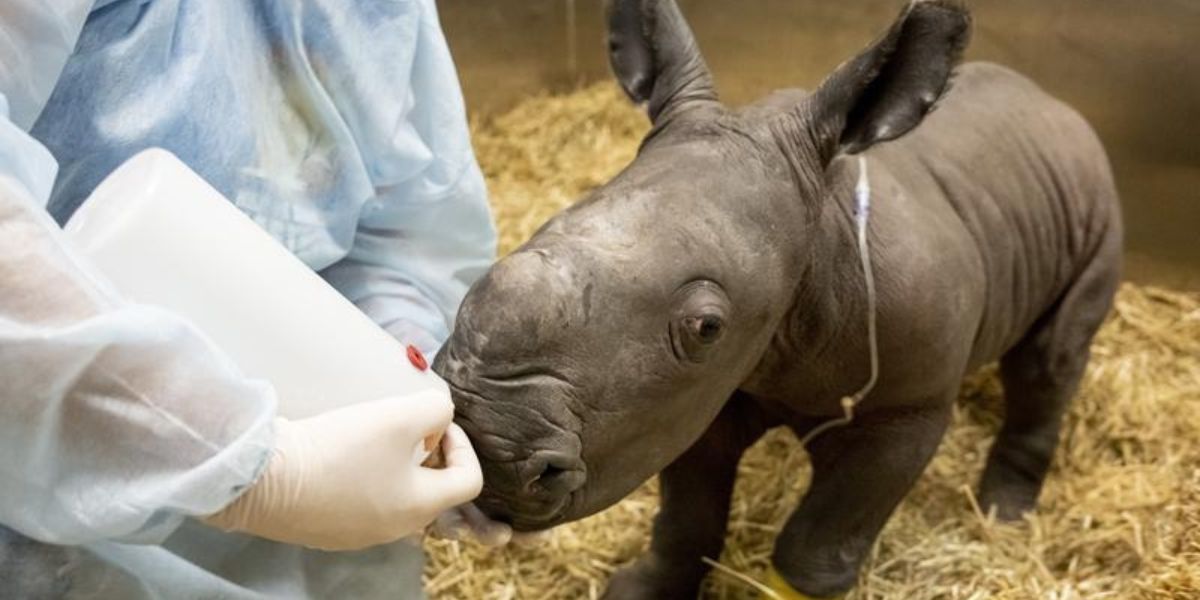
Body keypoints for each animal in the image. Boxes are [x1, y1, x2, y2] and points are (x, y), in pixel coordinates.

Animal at [433, 0, 1122, 597]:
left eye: (707, 327)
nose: (487, 443)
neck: (821, 241)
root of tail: (1053, 103)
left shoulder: (908, 406)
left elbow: (817, 547)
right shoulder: (691, 400)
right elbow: (687, 516)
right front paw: (640, 590)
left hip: (1097, 206)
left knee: (1051, 358)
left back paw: (1002, 514)